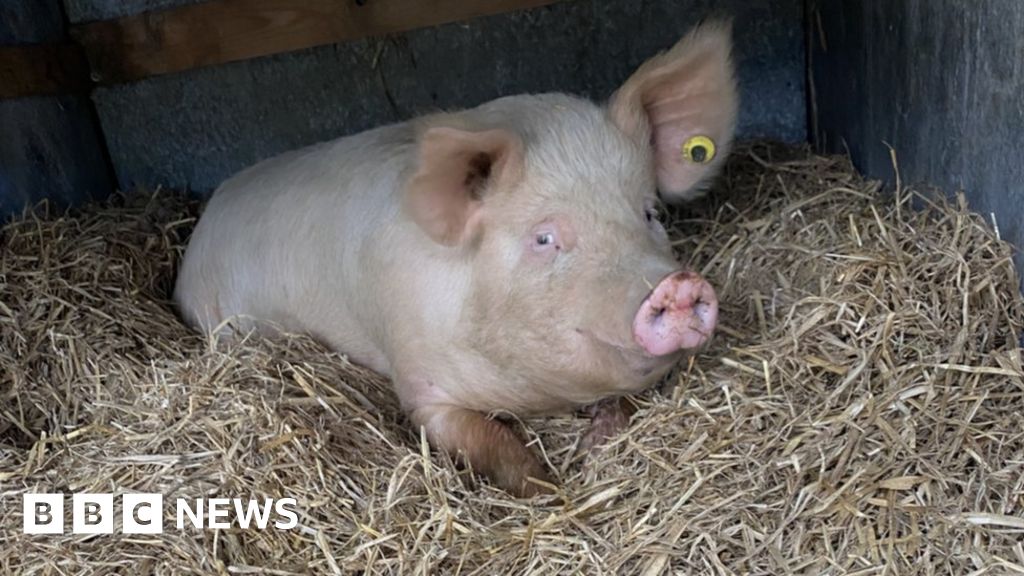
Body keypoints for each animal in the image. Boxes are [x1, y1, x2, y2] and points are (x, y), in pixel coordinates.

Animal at [174, 21, 737, 496]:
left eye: (649, 212)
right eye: (544, 238)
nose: (676, 285)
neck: (534, 392)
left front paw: (598, 440)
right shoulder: (421, 387)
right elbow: (487, 439)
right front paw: (548, 490)